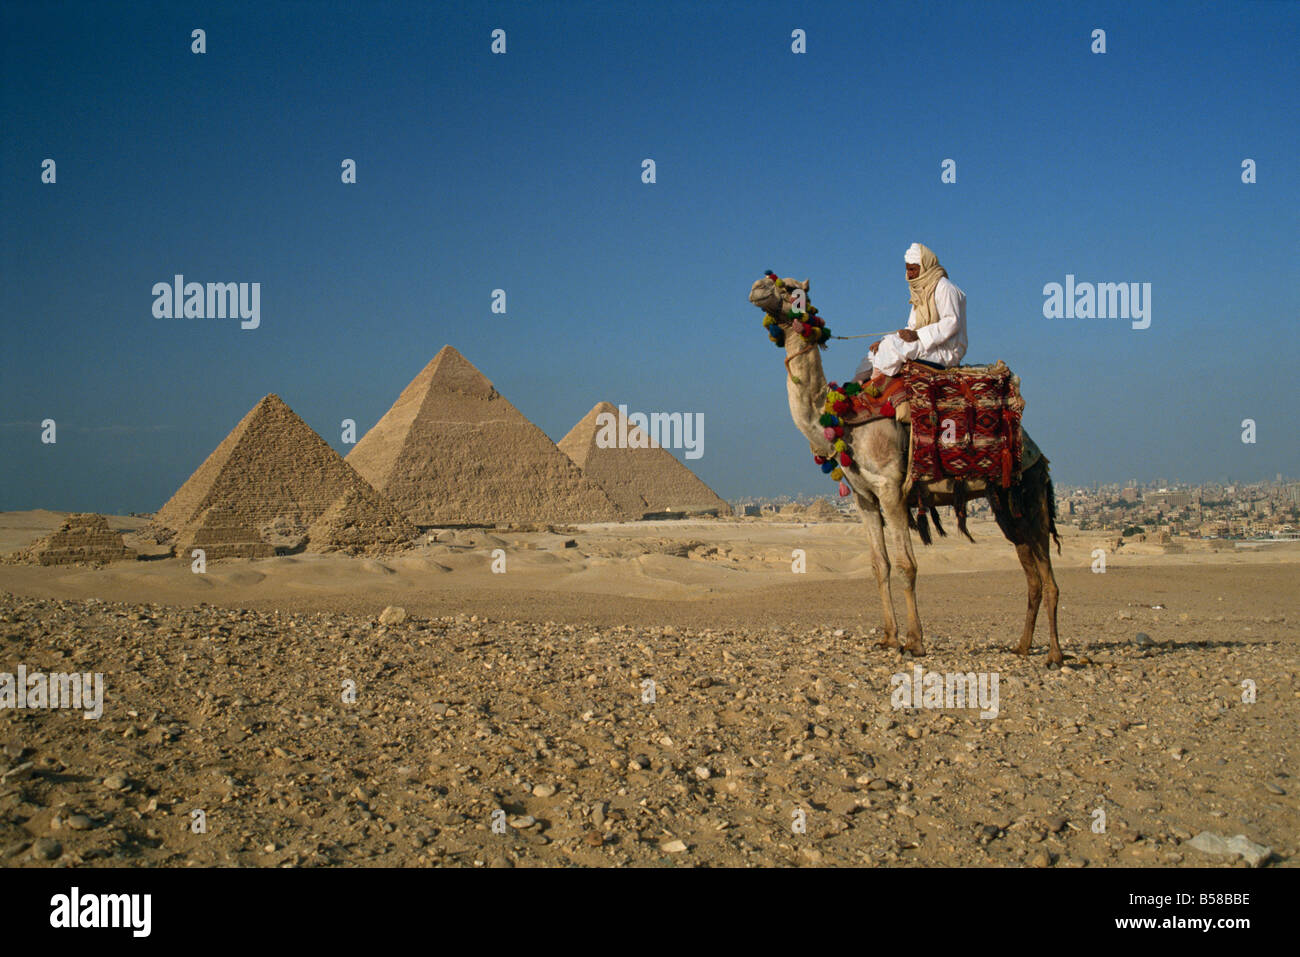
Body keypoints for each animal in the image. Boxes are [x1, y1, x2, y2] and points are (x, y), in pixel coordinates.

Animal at [748, 273, 1064, 665]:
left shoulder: (890, 488)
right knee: (1032, 573)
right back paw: (1022, 646)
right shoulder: (864, 498)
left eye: (791, 289)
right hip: (1005, 502)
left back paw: (1054, 655)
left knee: (1048, 575)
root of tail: (1037, 451)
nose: (757, 287)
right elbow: (878, 565)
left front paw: (915, 641)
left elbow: (906, 565)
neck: (842, 418)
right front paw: (888, 637)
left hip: (1029, 490)